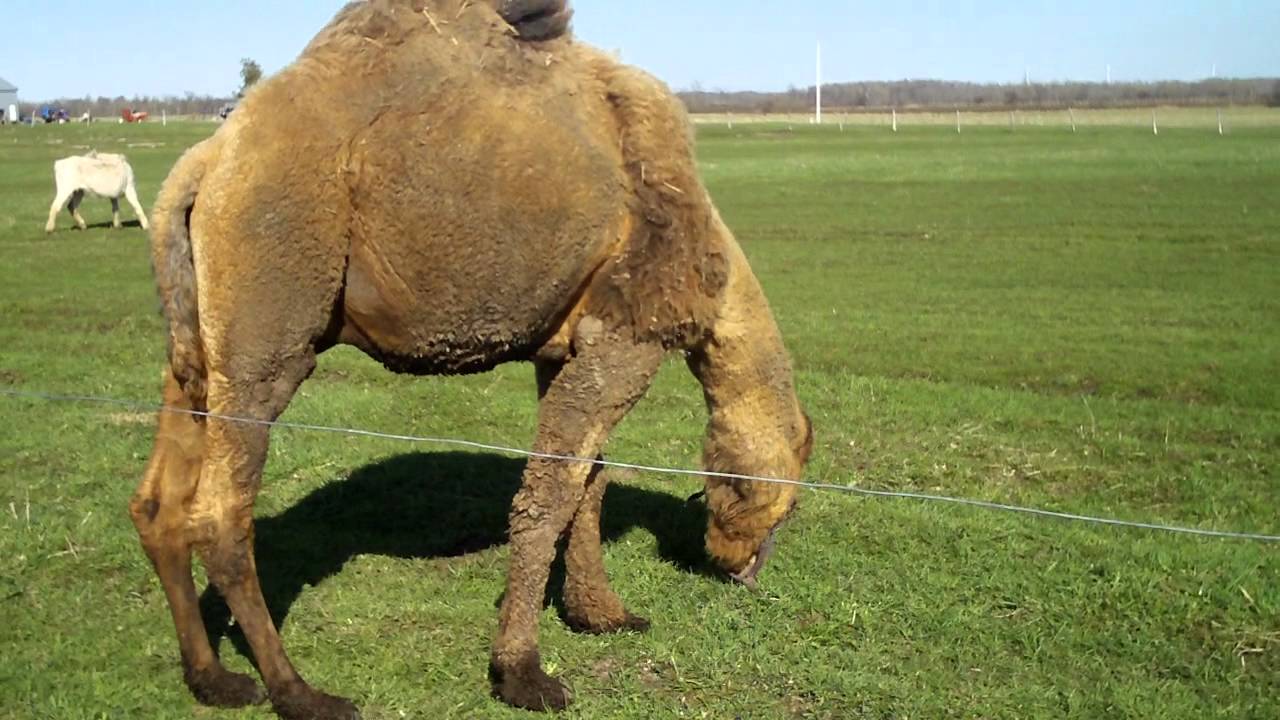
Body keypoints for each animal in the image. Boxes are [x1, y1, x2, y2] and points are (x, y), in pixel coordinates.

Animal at [130, 1, 812, 717]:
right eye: (785, 501)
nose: (745, 567)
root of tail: (206, 161)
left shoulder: (565, 344)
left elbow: (589, 482)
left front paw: (602, 614)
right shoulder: (631, 336)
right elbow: (549, 497)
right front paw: (522, 672)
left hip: (196, 346)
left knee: (158, 504)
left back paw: (213, 678)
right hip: (268, 315)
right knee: (220, 515)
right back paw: (299, 693)